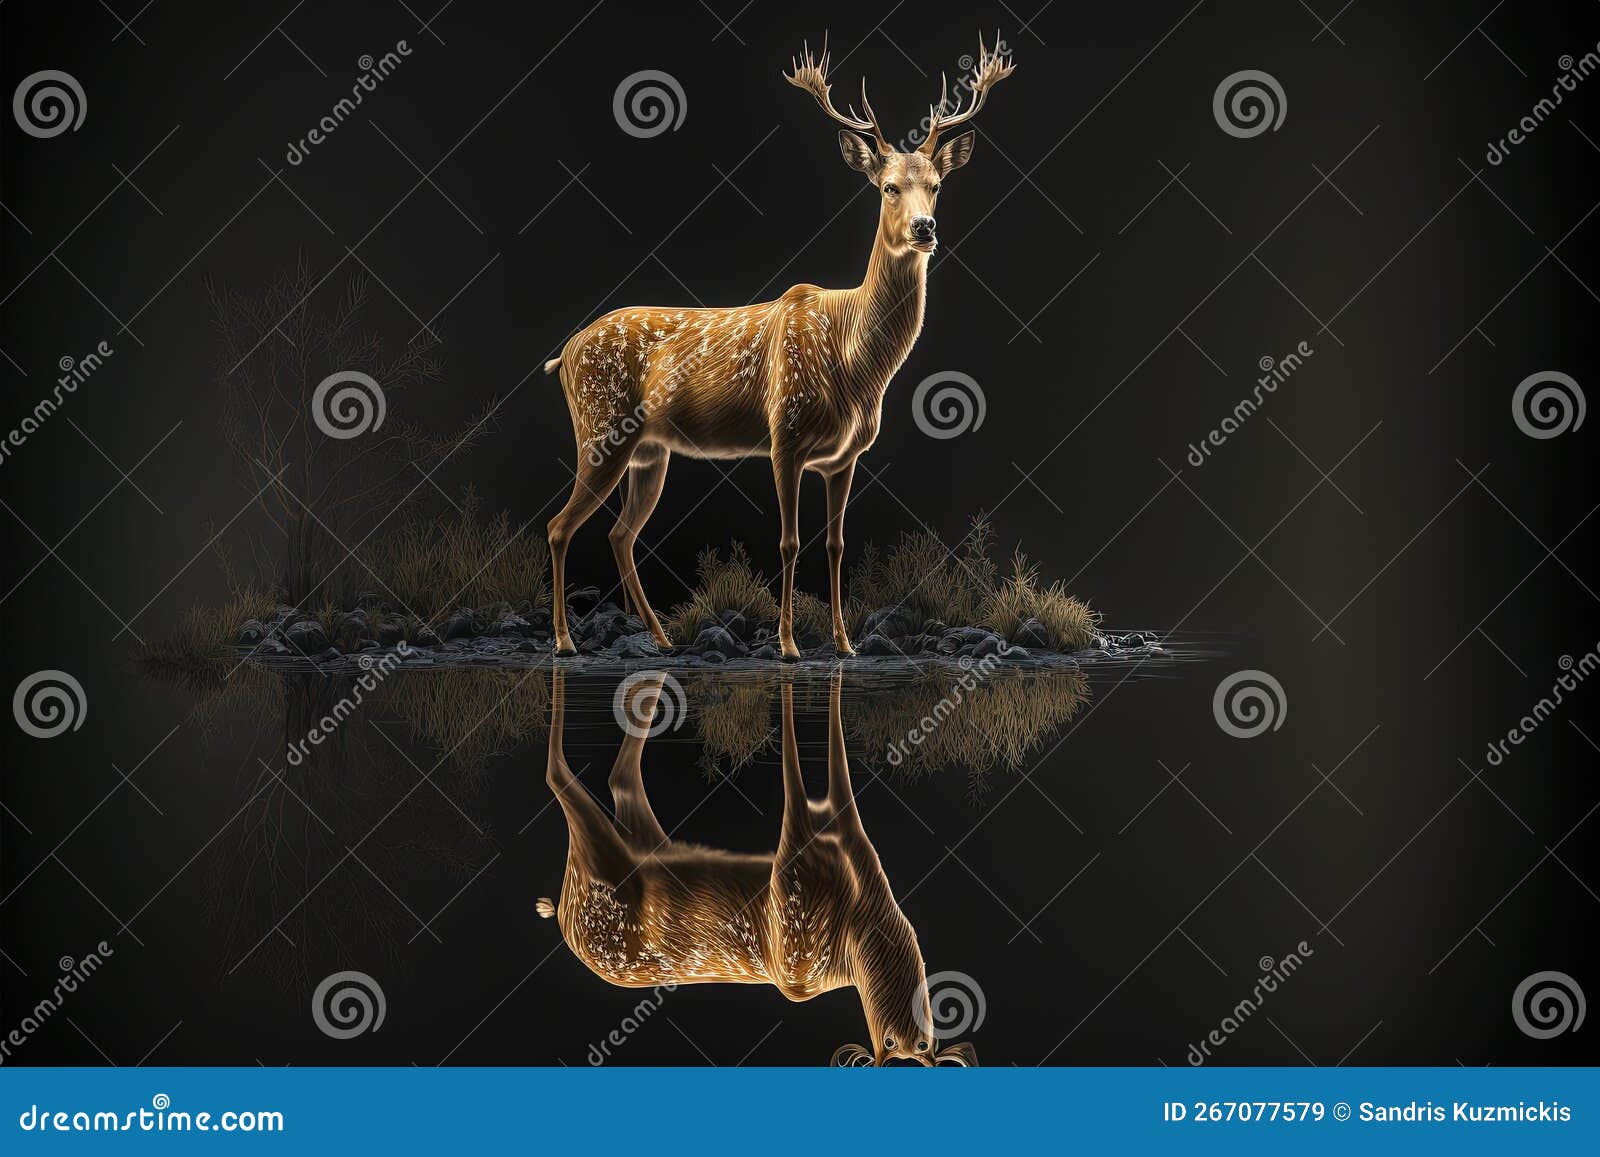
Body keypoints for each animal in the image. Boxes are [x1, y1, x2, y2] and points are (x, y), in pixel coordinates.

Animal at [538, 666, 977, 1066]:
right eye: (900, 1041)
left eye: (925, 1043)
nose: (920, 1040)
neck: (865, 915)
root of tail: (562, 913)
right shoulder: (796, 878)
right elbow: (797, 774)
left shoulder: (849, 831)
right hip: (607, 870)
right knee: (557, 774)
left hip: (641, 841)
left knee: (619, 780)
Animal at [542, 34, 1016, 660]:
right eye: (888, 187)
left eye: (936, 186)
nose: (924, 228)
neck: (855, 360)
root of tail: (564, 353)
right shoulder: (783, 434)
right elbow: (789, 541)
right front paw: (789, 644)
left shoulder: (846, 457)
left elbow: (836, 544)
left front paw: (844, 643)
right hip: (599, 427)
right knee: (560, 526)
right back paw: (565, 641)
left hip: (650, 452)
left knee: (621, 533)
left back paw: (662, 639)